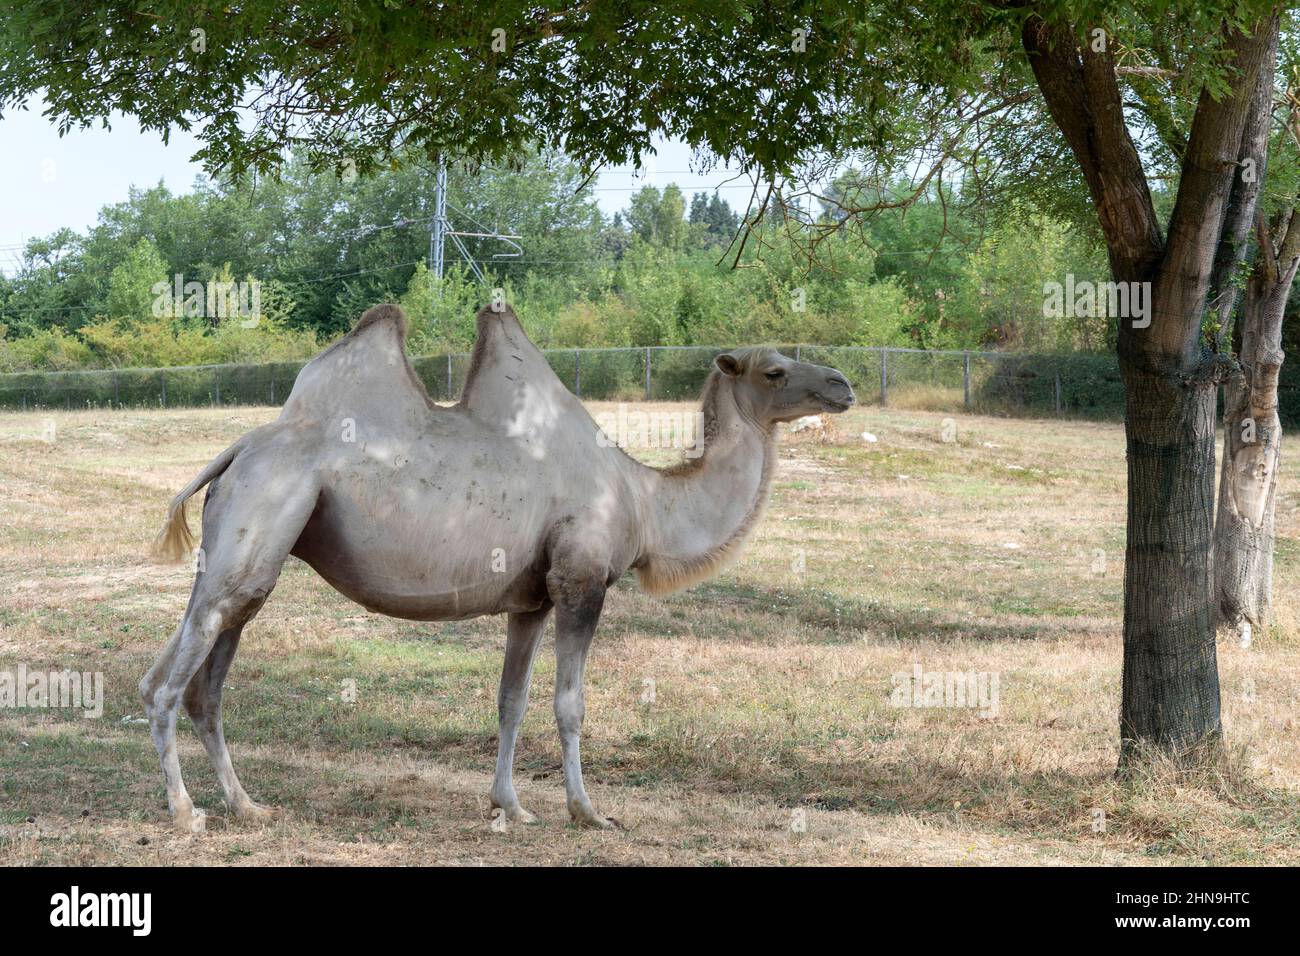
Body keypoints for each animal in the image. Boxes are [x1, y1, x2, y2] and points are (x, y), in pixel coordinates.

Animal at [143, 302, 856, 832]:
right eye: (774, 370)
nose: (842, 384)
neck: (645, 500)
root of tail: (239, 448)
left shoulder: (532, 600)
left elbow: (510, 700)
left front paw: (509, 806)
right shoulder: (580, 582)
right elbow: (569, 703)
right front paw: (587, 811)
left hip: (248, 559)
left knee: (202, 676)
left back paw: (246, 806)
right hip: (260, 522)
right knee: (167, 684)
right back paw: (184, 811)